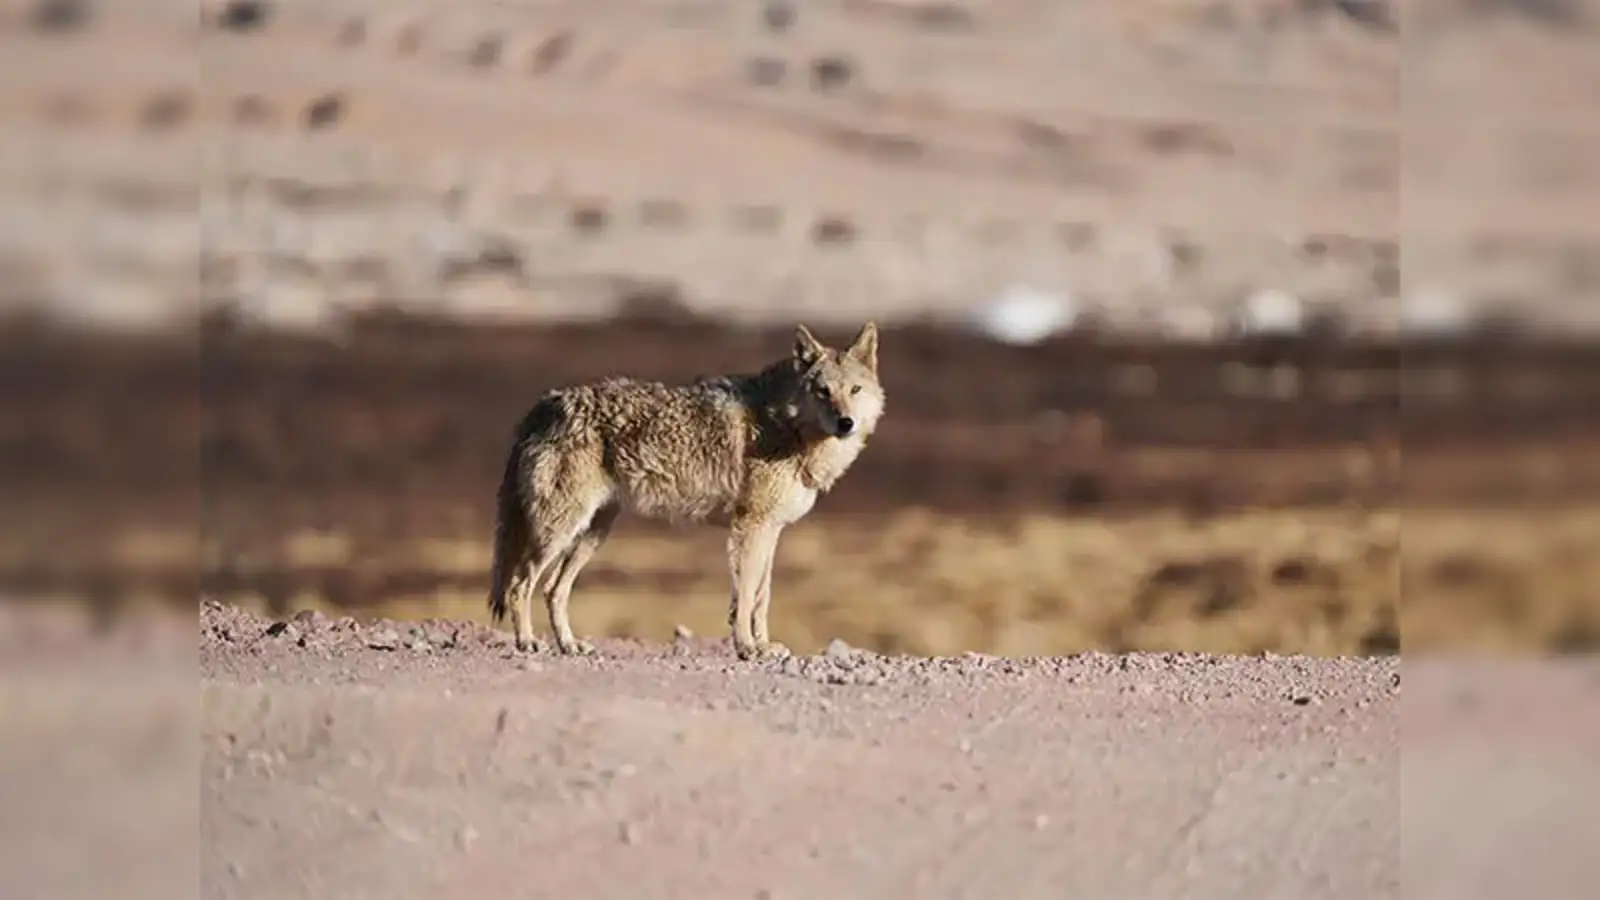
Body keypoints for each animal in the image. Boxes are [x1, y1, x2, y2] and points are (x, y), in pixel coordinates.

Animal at [487, 322, 885, 661]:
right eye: (823, 391)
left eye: (854, 390)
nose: (846, 423)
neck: (788, 427)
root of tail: (547, 402)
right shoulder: (750, 528)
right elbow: (745, 597)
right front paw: (746, 647)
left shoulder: (771, 530)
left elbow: (762, 596)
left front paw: (764, 645)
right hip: (558, 532)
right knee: (519, 584)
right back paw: (527, 642)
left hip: (592, 533)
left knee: (553, 590)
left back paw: (569, 645)